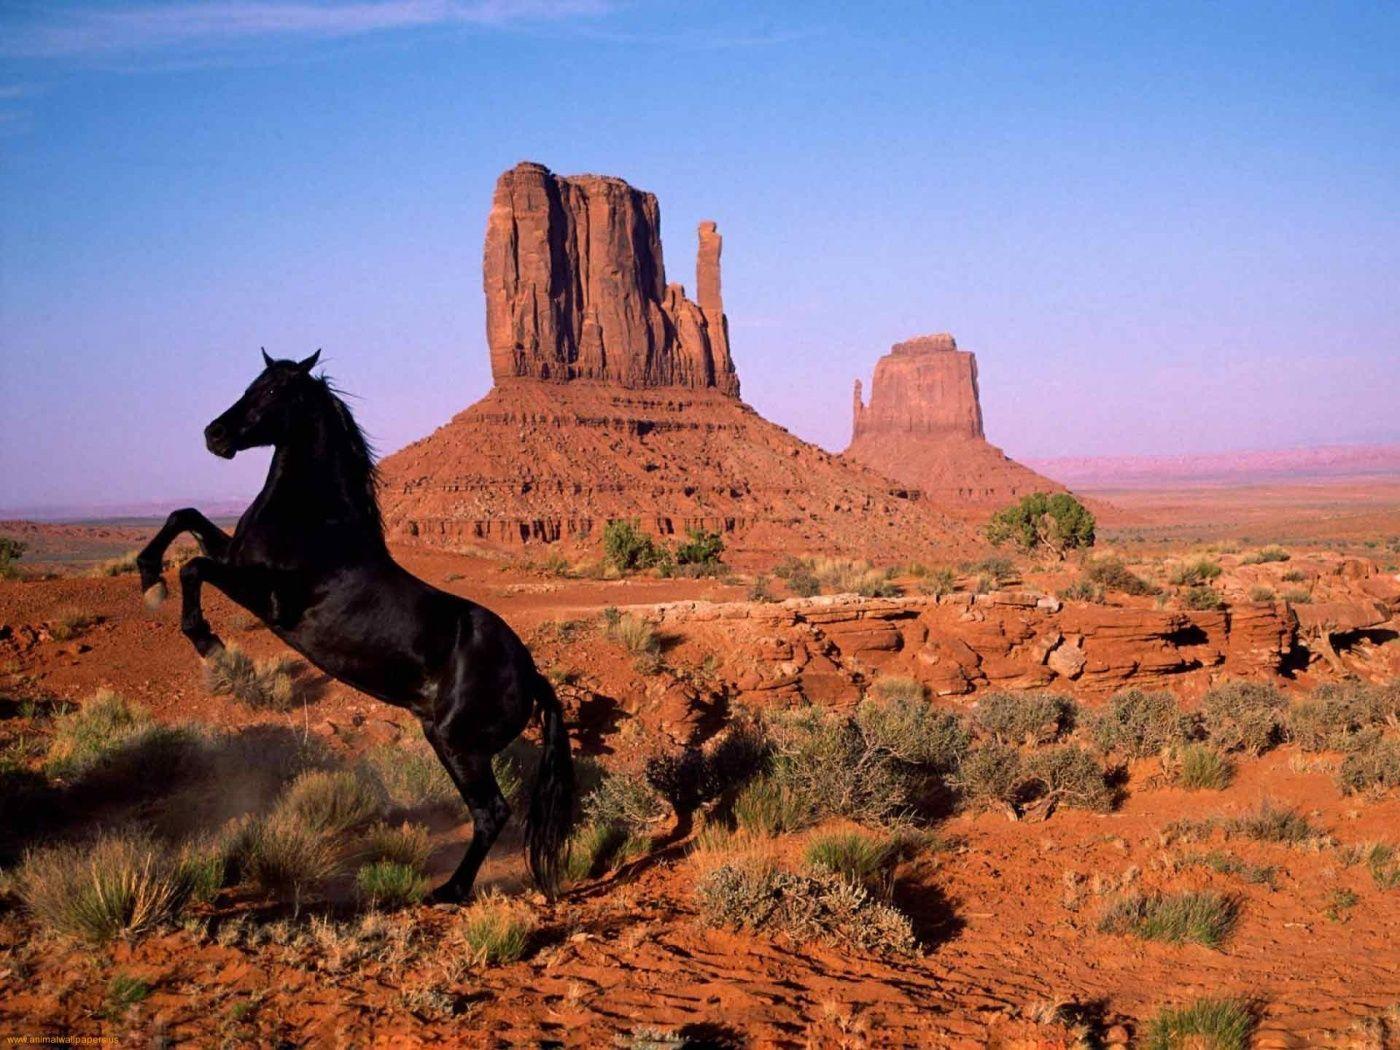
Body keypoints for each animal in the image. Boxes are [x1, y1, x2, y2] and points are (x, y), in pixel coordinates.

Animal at [136, 349, 573, 902]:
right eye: (252, 383)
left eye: (275, 391)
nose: (215, 435)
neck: (314, 523)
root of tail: (532, 676)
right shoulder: (235, 557)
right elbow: (184, 516)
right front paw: (148, 575)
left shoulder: (270, 600)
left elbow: (194, 568)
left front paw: (205, 639)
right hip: (446, 738)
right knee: (487, 813)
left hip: (459, 743)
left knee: (491, 812)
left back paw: (447, 891)